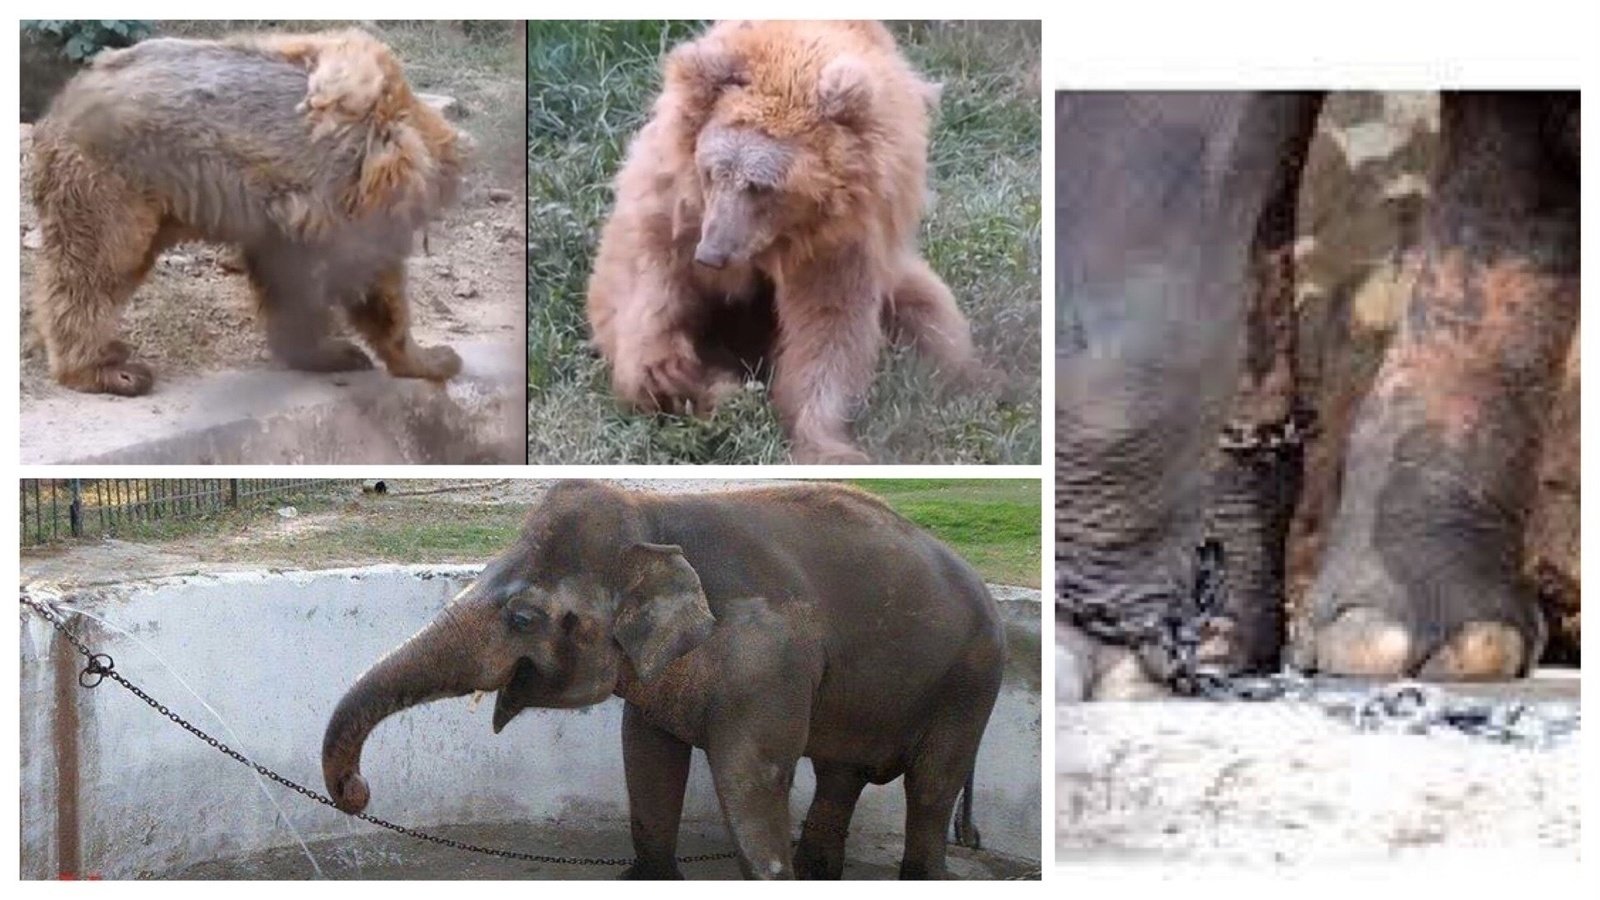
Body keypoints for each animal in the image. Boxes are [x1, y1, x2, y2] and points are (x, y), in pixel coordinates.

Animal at [27, 29, 464, 396]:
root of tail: (60, 104)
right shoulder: (348, 192)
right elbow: (369, 277)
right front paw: (433, 357)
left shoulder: (287, 218)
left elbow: (288, 282)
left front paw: (327, 351)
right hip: (115, 181)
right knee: (95, 270)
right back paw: (108, 369)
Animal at [321, 480, 1006, 880]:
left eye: (522, 618)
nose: (357, 790)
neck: (654, 511)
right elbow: (646, 755)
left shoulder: (764, 660)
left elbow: (750, 781)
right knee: (842, 775)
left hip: (971, 683)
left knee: (930, 787)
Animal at [585, 20, 978, 464]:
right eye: (712, 171)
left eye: (761, 186)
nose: (712, 255)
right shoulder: (677, 205)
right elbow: (649, 277)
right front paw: (667, 372)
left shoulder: (839, 243)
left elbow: (828, 329)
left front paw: (825, 442)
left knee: (934, 317)